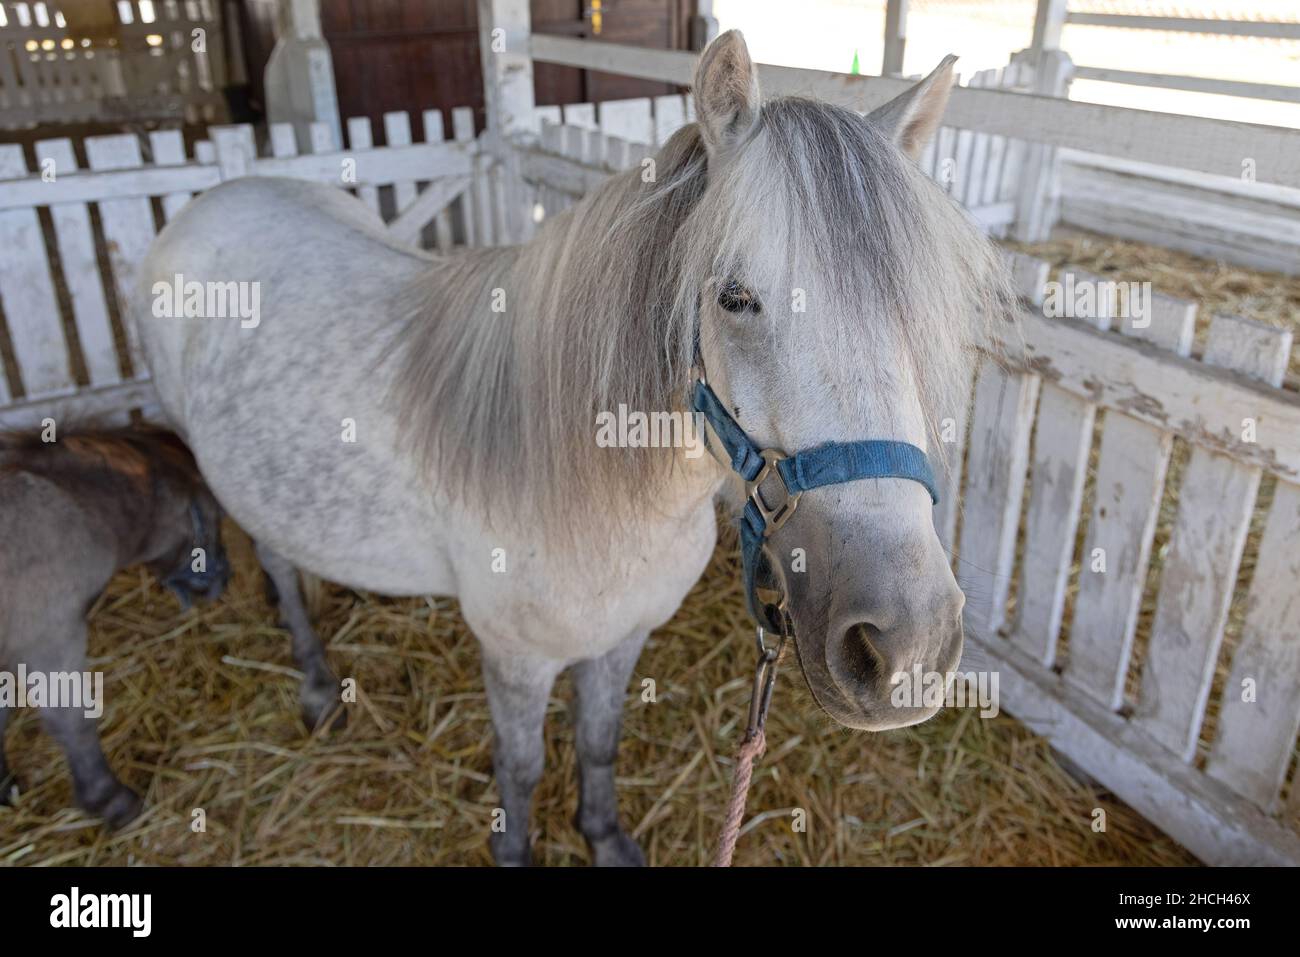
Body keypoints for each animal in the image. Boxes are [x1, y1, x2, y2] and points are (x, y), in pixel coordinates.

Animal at [131, 30, 1011, 865]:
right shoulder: (515, 660)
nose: (906, 645)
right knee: (276, 563)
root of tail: (220, 197)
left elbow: (597, 741)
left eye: (912, 307)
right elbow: (520, 771)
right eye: (735, 297)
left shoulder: (622, 639)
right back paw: (315, 683)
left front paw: (605, 836)